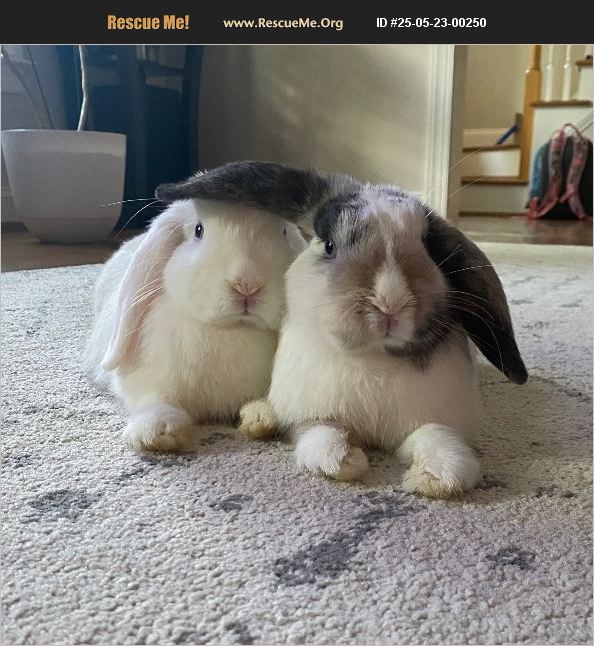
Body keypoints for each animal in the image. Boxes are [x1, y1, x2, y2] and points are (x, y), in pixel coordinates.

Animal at [83, 168, 305, 452]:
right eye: (199, 230)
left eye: (284, 232)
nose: (247, 285)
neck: (233, 328)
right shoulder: (147, 381)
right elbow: (153, 400)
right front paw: (157, 433)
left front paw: (262, 418)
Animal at [149, 161, 527, 498]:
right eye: (330, 245)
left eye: (430, 248)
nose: (389, 302)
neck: (373, 358)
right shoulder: (313, 411)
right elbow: (322, 432)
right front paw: (344, 462)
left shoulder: (438, 418)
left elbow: (437, 438)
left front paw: (437, 479)